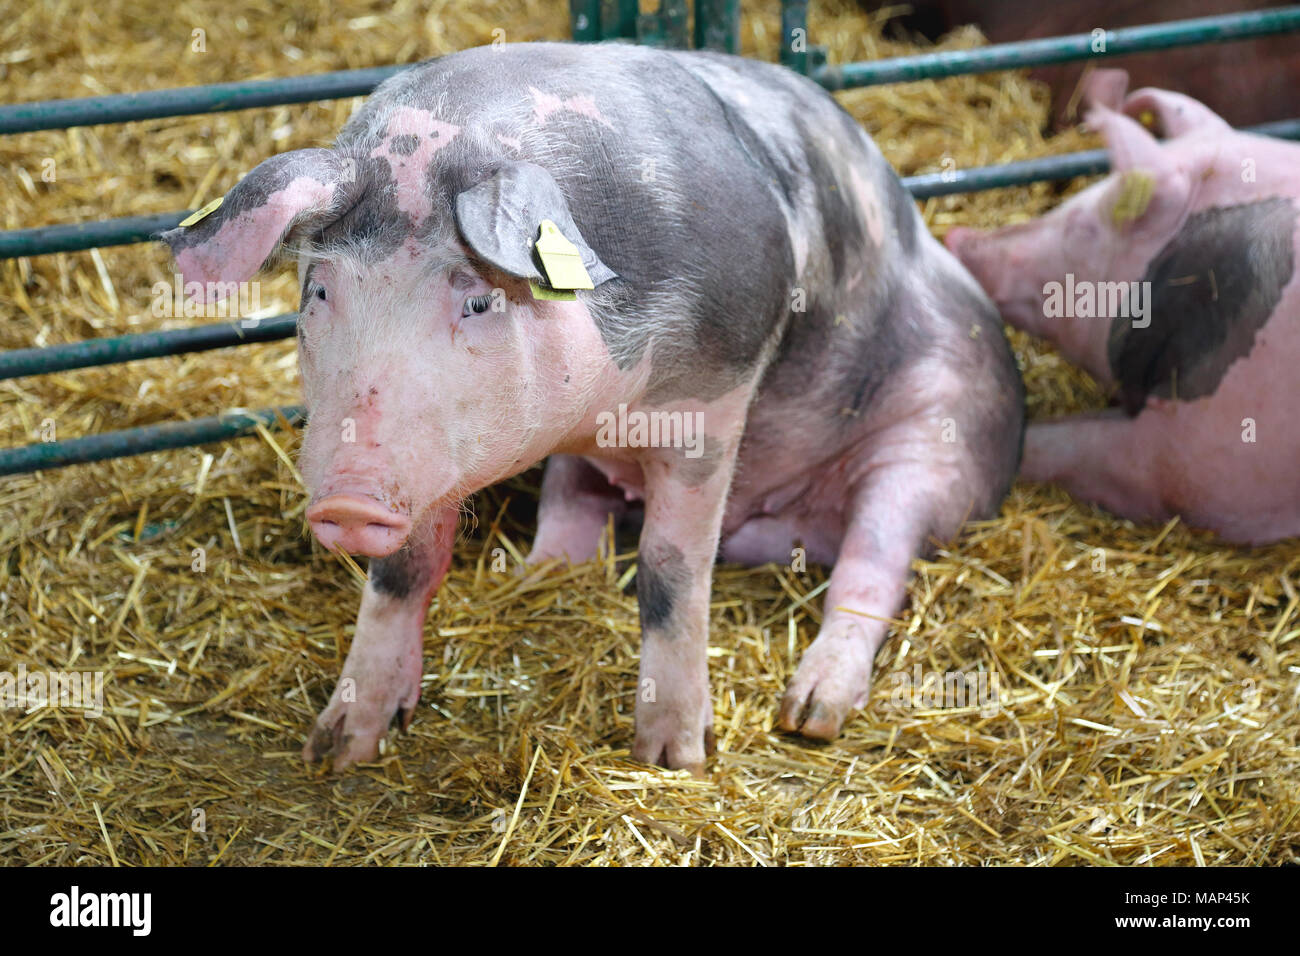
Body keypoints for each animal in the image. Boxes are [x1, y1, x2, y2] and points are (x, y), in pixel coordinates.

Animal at [161, 41, 1023, 773]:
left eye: (478, 301)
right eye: (319, 290)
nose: (347, 499)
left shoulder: (716, 389)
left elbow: (672, 572)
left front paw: (675, 757)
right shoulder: (433, 458)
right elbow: (403, 573)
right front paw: (338, 749)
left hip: (939, 439)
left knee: (872, 570)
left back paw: (808, 713)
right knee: (573, 509)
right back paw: (536, 576)